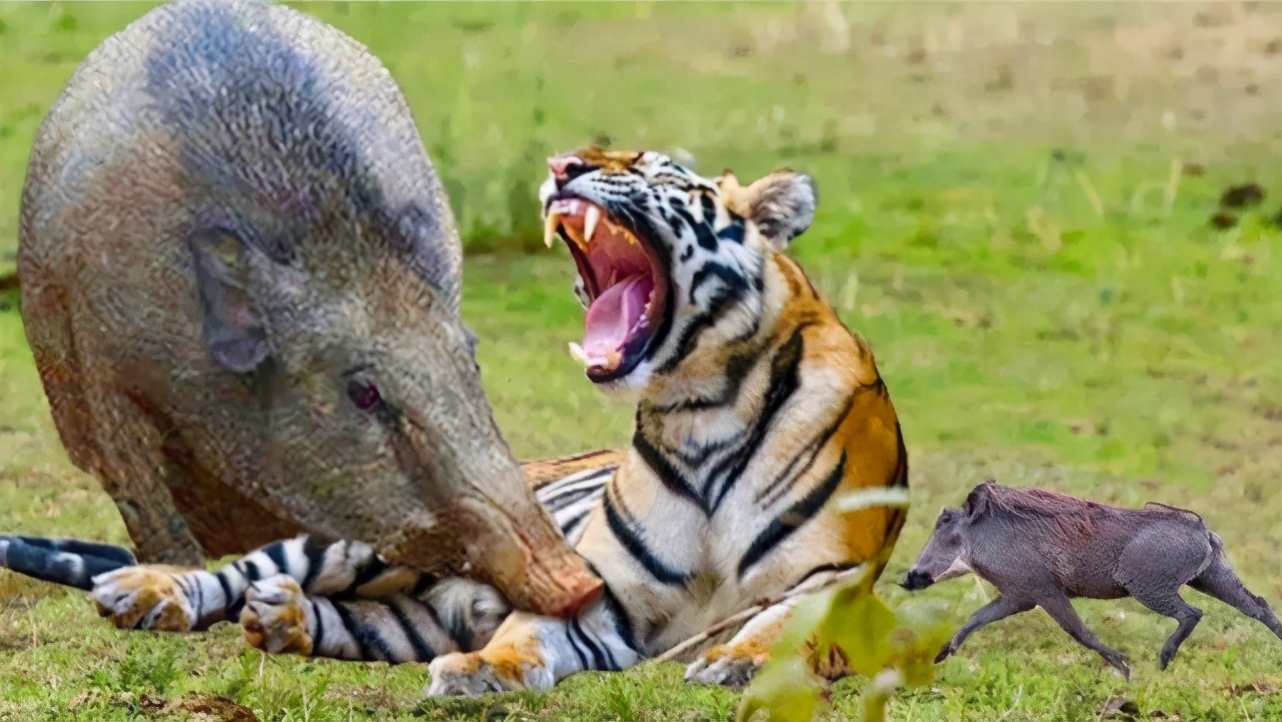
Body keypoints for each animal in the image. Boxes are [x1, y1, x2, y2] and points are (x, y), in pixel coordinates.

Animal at [0, 147, 909, 694]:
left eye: (658, 166)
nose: (563, 163)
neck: (700, 408)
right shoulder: (603, 593)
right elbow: (528, 637)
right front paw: (481, 670)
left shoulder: (831, 582)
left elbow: (782, 625)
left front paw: (738, 661)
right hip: (372, 530)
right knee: (234, 569)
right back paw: (149, 592)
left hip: (405, 609)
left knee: (345, 619)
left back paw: (284, 618)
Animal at [900, 480, 1282, 680]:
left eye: (944, 525)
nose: (907, 579)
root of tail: (1203, 530)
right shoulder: (1020, 595)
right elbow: (974, 619)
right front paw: (940, 657)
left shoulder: (1040, 591)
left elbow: (1080, 632)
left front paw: (1124, 670)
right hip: (1210, 577)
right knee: (1258, 606)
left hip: (1148, 588)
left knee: (1193, 613)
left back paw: (1162, 661)